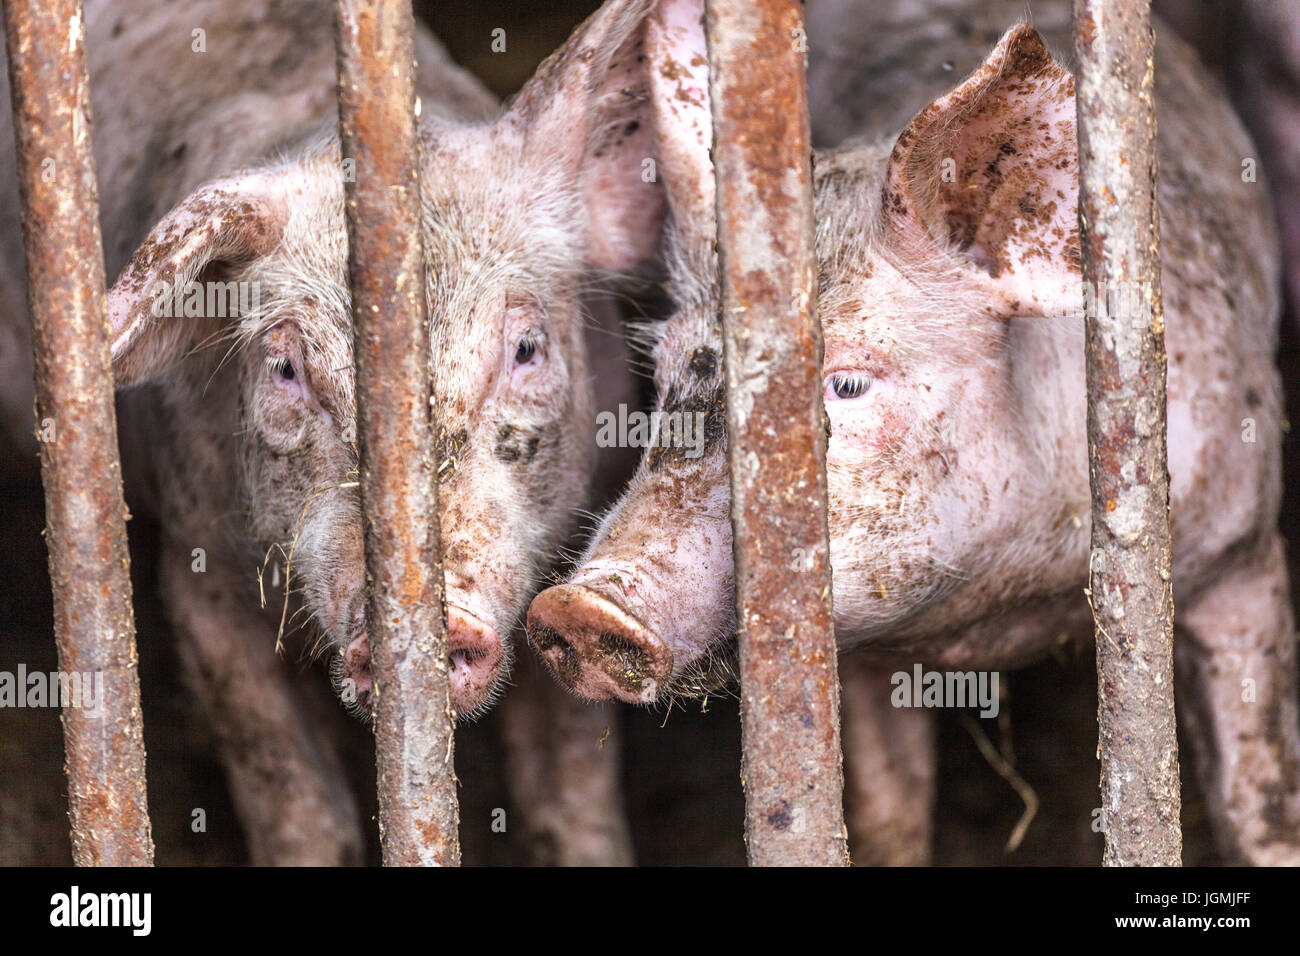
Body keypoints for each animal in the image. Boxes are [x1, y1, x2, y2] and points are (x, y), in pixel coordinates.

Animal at [0, 0, 667, 864]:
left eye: (526, 348)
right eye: (285, 366)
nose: (437, 621)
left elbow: (570, 788)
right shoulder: (201, 573)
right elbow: (291, 793)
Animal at [527, 0, 1300, 865]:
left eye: (846, 384)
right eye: (661, 374)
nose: (577, 607)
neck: (1006, 605)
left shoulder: (1242, 550)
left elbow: (1261, 801)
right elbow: (887, 814)